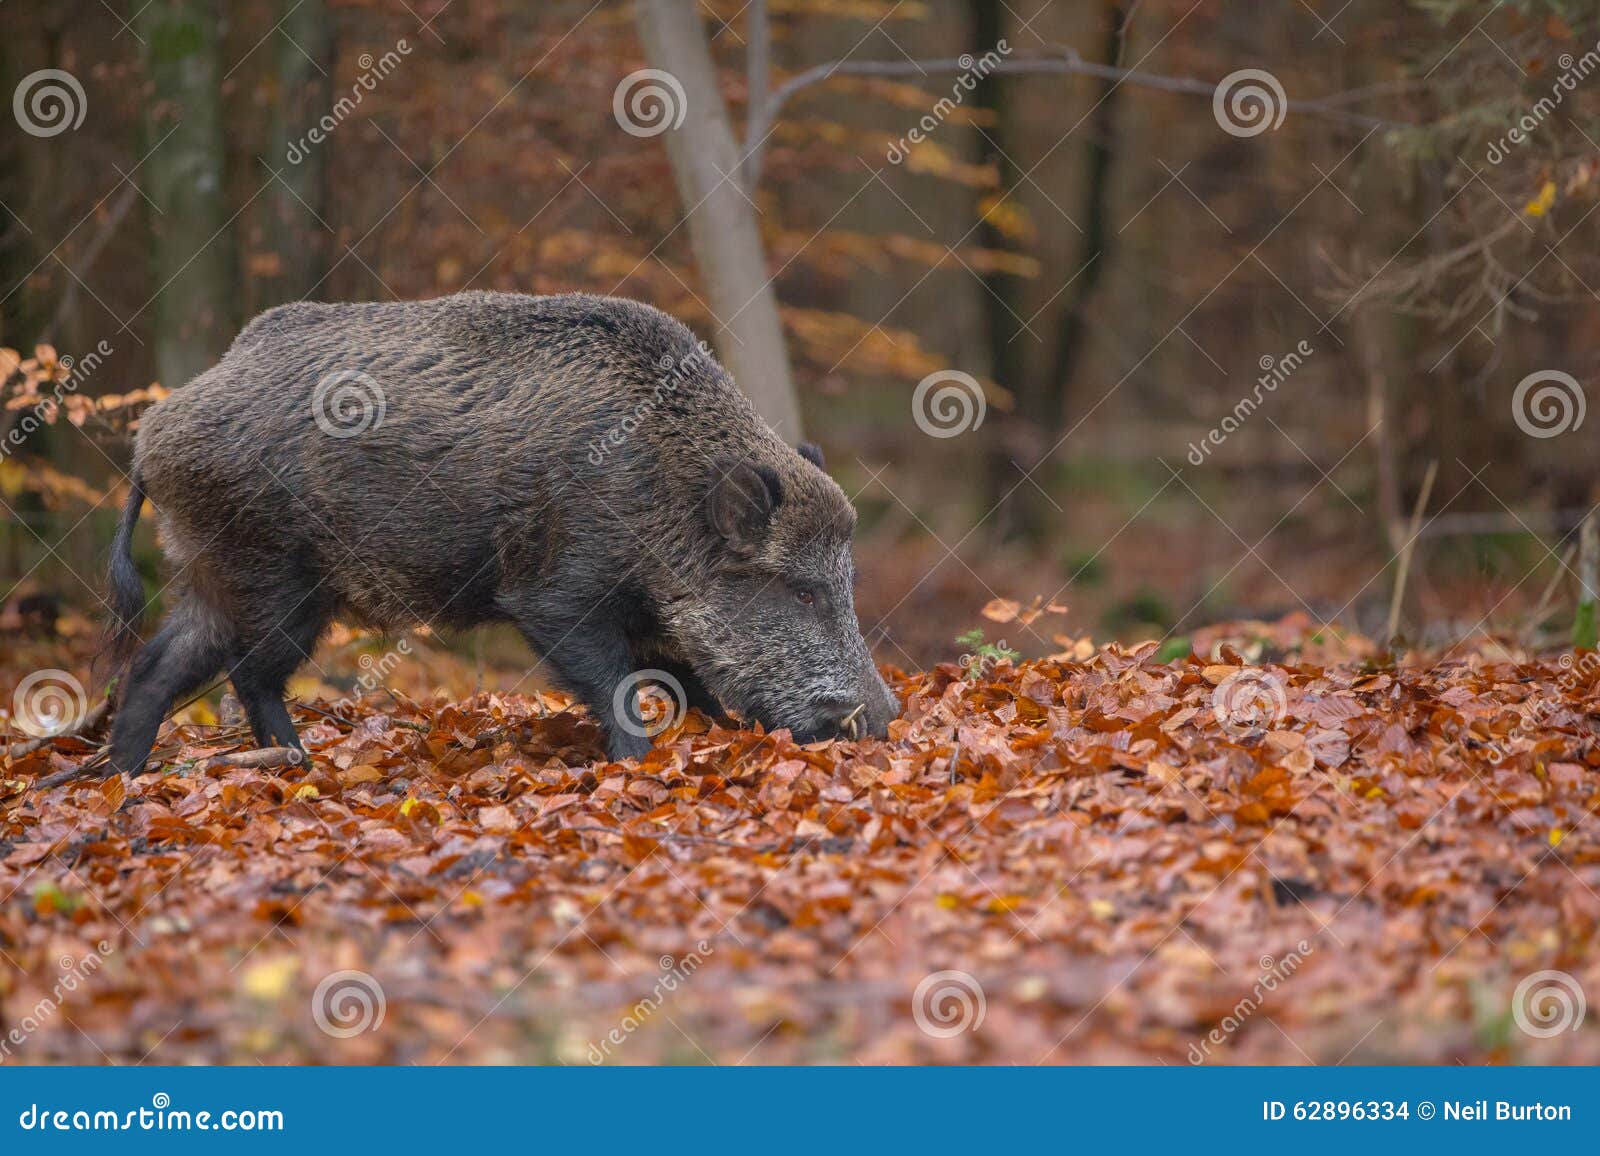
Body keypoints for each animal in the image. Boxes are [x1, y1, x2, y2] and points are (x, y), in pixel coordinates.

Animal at [104, 292, 900, 775]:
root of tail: (153, 433)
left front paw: (720, 739)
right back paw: (294, 761)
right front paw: (636, 763)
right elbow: (615, 683)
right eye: (800, 592)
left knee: (159, 664)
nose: (886, 717)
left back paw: (126, 774)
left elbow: (690, 680)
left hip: (214, 567)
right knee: (248, 671)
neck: (663, 489)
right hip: (276, 575)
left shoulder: (650, 613)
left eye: (847, 581)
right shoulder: (557, 592)